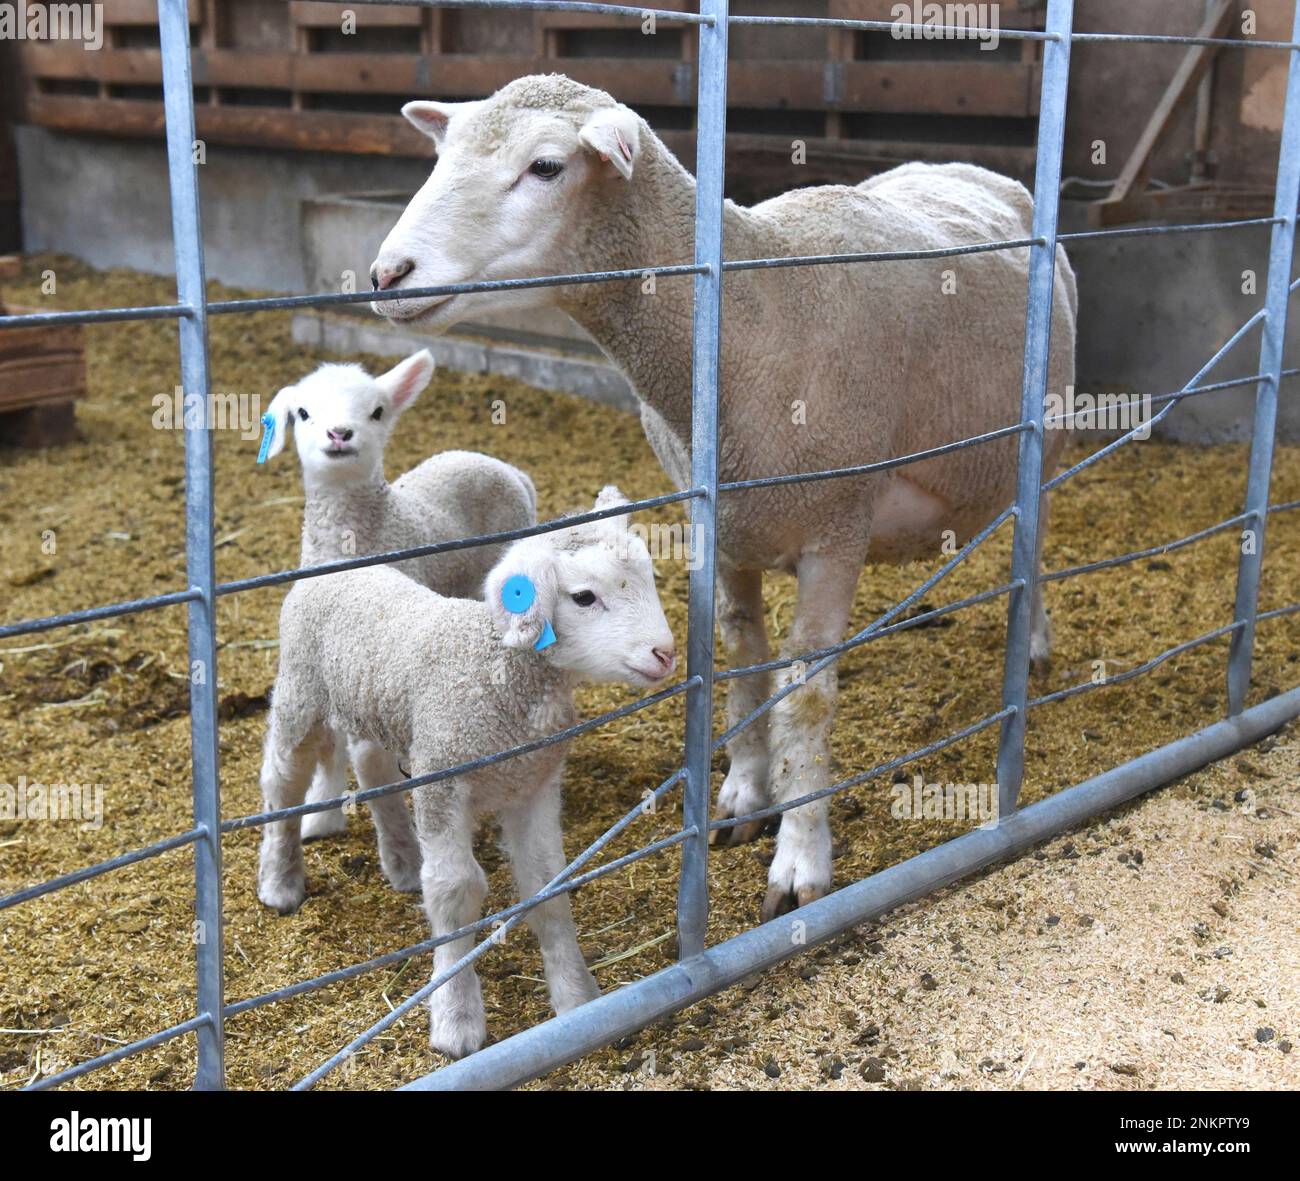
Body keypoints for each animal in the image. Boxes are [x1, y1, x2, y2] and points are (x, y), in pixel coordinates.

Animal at [256, 486, 677, 1057]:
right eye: (584, 597)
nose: (665, 654)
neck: (494, 672)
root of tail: (332, 564)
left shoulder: (533, 783)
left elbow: (546, 883)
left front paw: (577, 999)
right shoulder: (442, 776)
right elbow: (454, 891)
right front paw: (456, 1019)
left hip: (380, 706)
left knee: (372, 767)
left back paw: (401, 859)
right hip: (301, 692)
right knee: (282, 781)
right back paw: (281, 880)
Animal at [260, 349, 537, 888]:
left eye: (377, 411)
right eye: (302, 412)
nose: (340, 434)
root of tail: (502, 465)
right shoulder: (331, 655)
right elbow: (331, 742)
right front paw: (322, 812)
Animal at [368, 75, 1078, 922]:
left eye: (545, 166)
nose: (386, 275)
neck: (753, 312)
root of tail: (969, 167)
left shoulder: (838, 526)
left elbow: (807, 694)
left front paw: (800, 861)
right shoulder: (724, 522)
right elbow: (743, 659)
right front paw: (744, 794)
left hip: (1047, 434)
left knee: (1038, 536)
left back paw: (1033, 645)